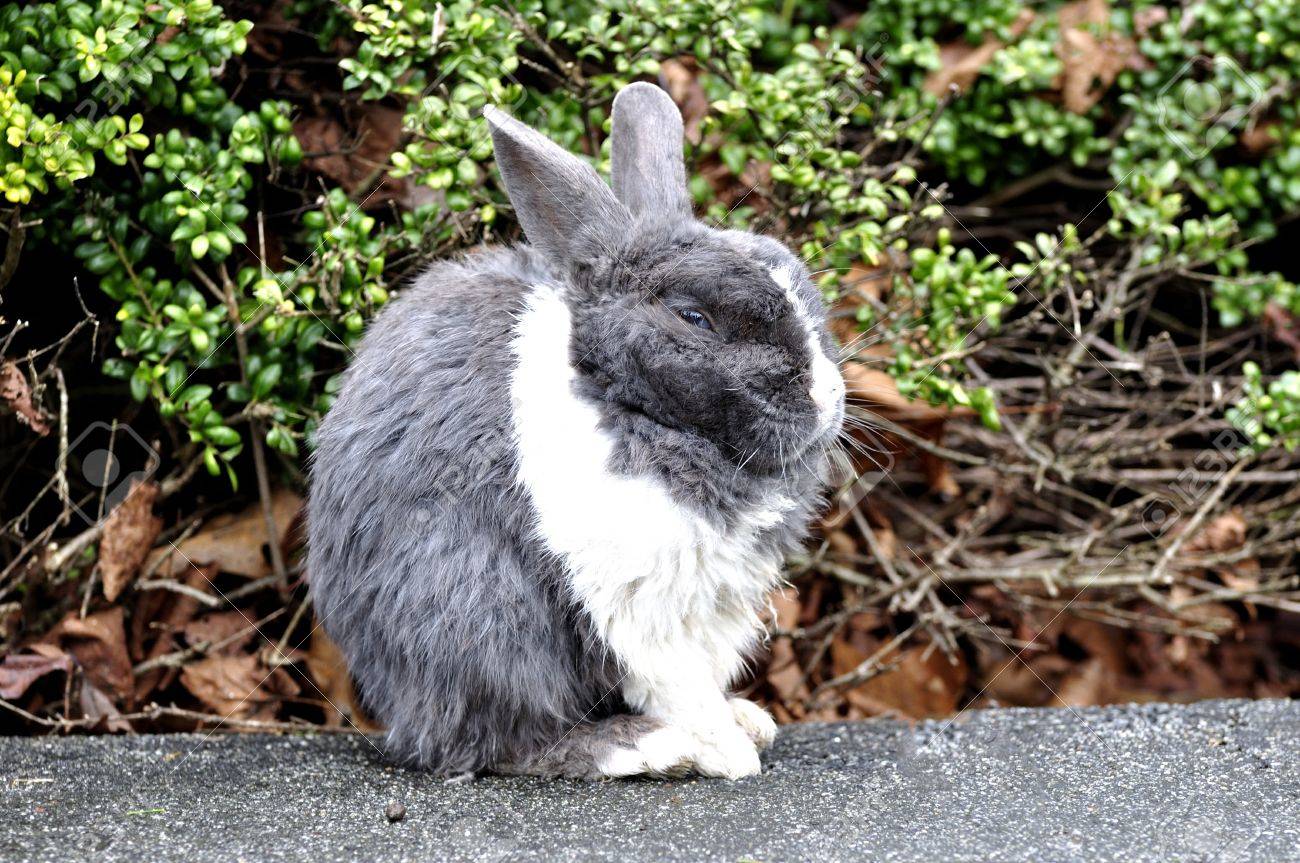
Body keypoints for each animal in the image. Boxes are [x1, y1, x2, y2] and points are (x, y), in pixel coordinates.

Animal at [306, 81, 846, 780]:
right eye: (693, 317)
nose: (826, 398)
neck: (618, 398)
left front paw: (742, 729)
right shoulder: (637, 601)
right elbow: (677, 686)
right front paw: (728, 754)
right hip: (478, 614)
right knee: (496, 739)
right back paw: (646, 745)